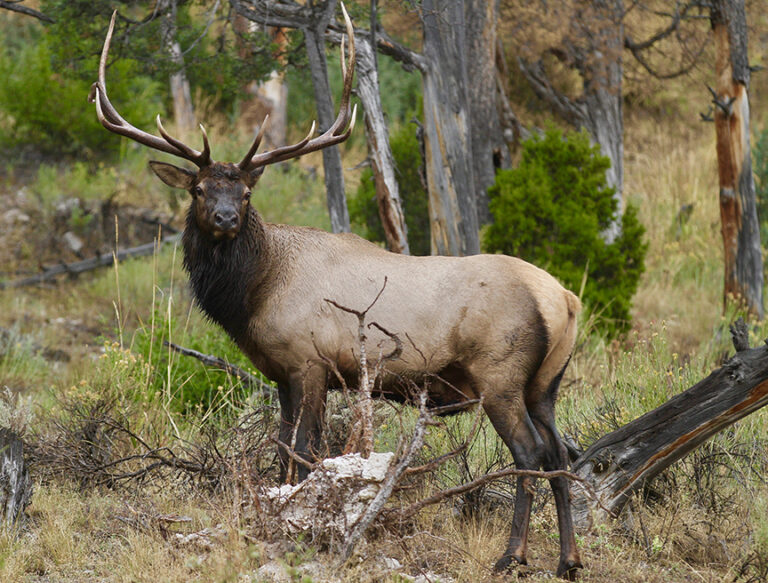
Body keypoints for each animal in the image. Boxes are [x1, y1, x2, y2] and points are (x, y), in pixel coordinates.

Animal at [89, 7, 582, 579]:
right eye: (199, 189)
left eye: (246, 191)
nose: (226, 218)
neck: (254, 293)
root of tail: (565, 300)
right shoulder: (280, 372)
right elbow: (284, 450)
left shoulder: (309, 362)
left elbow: (304, 451)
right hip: (545, 382)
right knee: (561, 453)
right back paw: (568, 560)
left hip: (499, 374)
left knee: (529, 454)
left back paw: (512, 555)